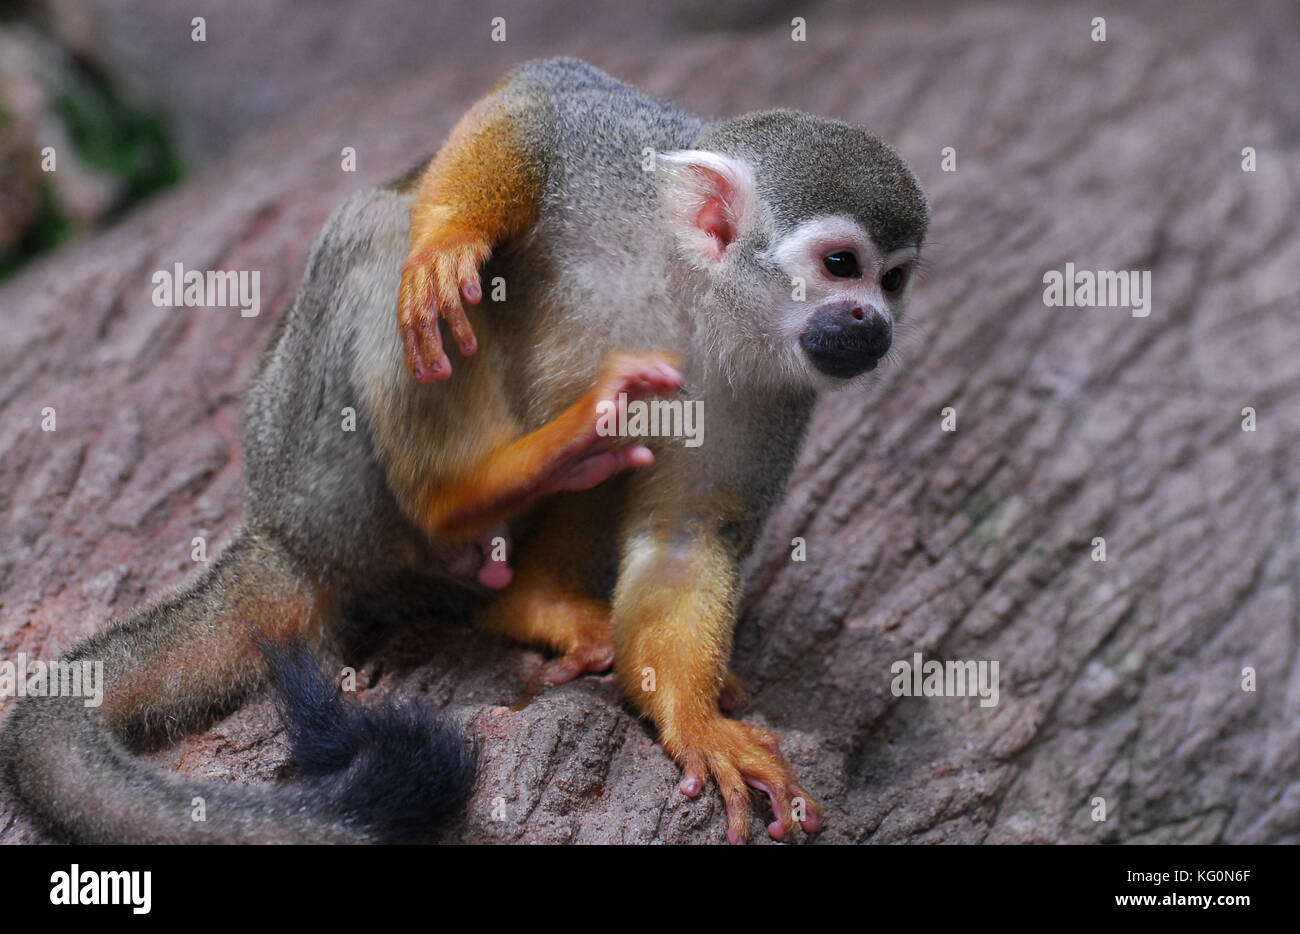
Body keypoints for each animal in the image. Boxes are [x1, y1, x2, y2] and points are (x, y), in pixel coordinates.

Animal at [0, 57, 928, 844]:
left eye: (895, 280)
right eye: (840, 264)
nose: (874, 325)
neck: (695, 302)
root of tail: (281, 536)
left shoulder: (776, 392)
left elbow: (690, 535)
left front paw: (697, 720)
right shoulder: (622, 167)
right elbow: (540, 100)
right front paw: (451, 237)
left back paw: (534, 591)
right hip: (315, 473)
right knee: (384, 235)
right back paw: (469, 487)